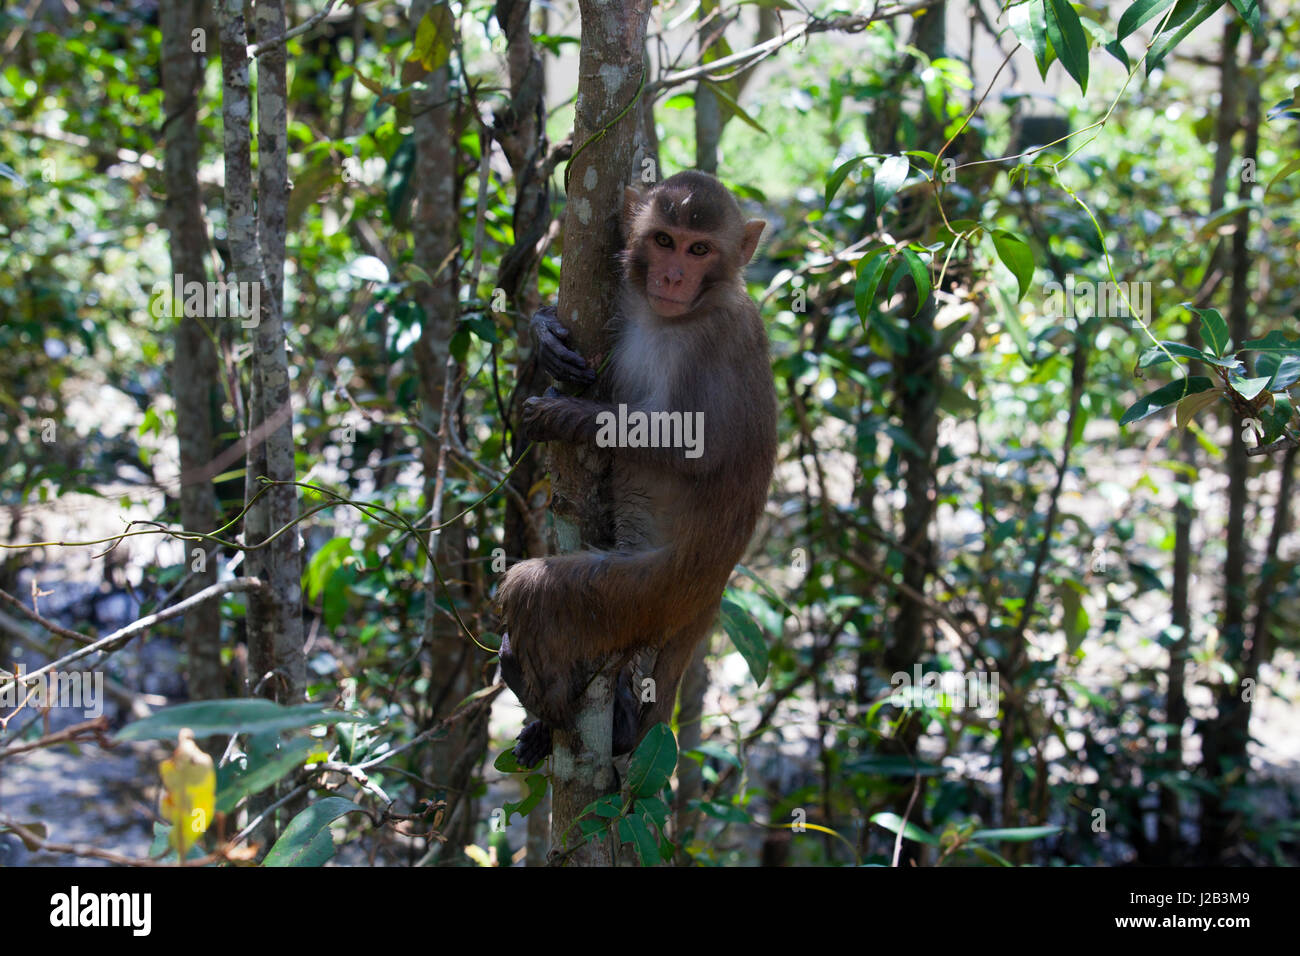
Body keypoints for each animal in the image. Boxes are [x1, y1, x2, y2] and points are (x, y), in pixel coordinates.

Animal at [497, 170, 777, 766]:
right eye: (665, 240)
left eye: (699, 250)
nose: (672, 276)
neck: (680, 315)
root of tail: (710, 599)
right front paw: (545, 332)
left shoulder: (718, 341)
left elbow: (699, 445)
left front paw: (564, 415)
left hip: (656, 589)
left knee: (538, 589)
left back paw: (549, 702)